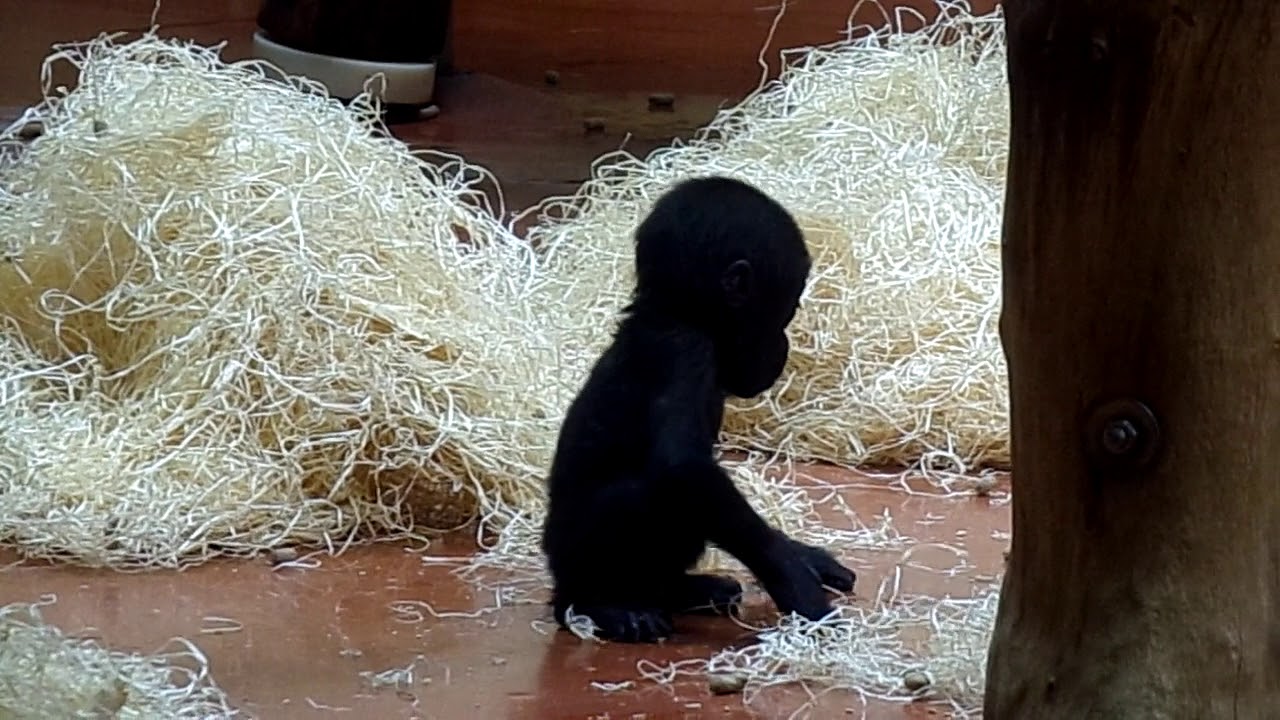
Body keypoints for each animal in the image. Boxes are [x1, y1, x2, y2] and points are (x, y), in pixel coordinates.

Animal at [539, 175, 856, 643]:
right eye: (789, 307)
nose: (783, 347)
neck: (682, 314)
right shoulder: (684, 352)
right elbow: (683, 469)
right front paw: (794, 581)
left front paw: (802, 554)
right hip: (574, 563)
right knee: (637, 496)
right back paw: (607, 604)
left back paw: (683, 589)